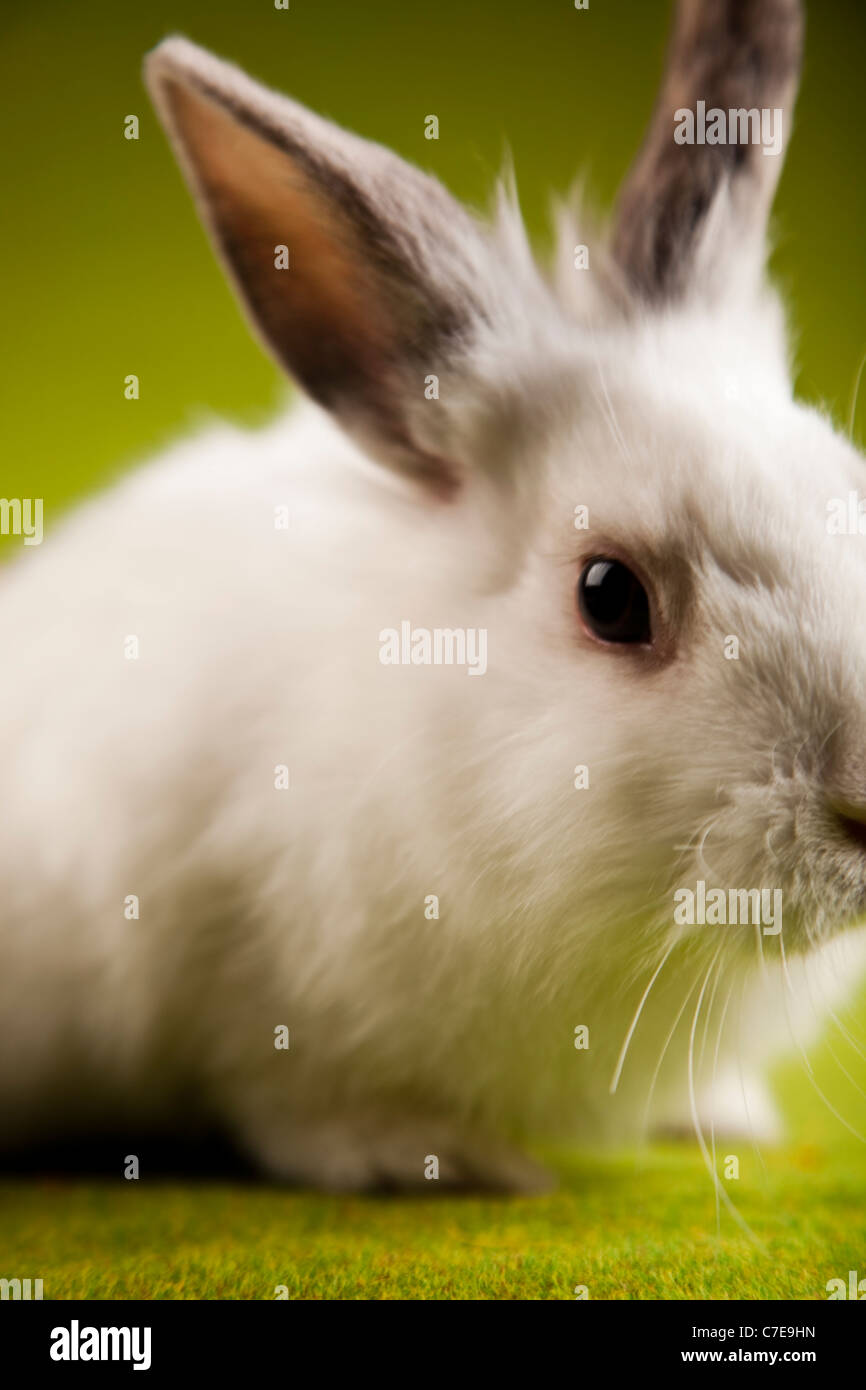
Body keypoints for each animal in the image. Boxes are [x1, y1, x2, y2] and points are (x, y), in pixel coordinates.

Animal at [2, 0, 866, 1194]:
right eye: (610, 596)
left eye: (851, 487)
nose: (864, 799)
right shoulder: (242, 969)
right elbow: (290, 1099)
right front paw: (440, 1155)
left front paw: (722, 1114)